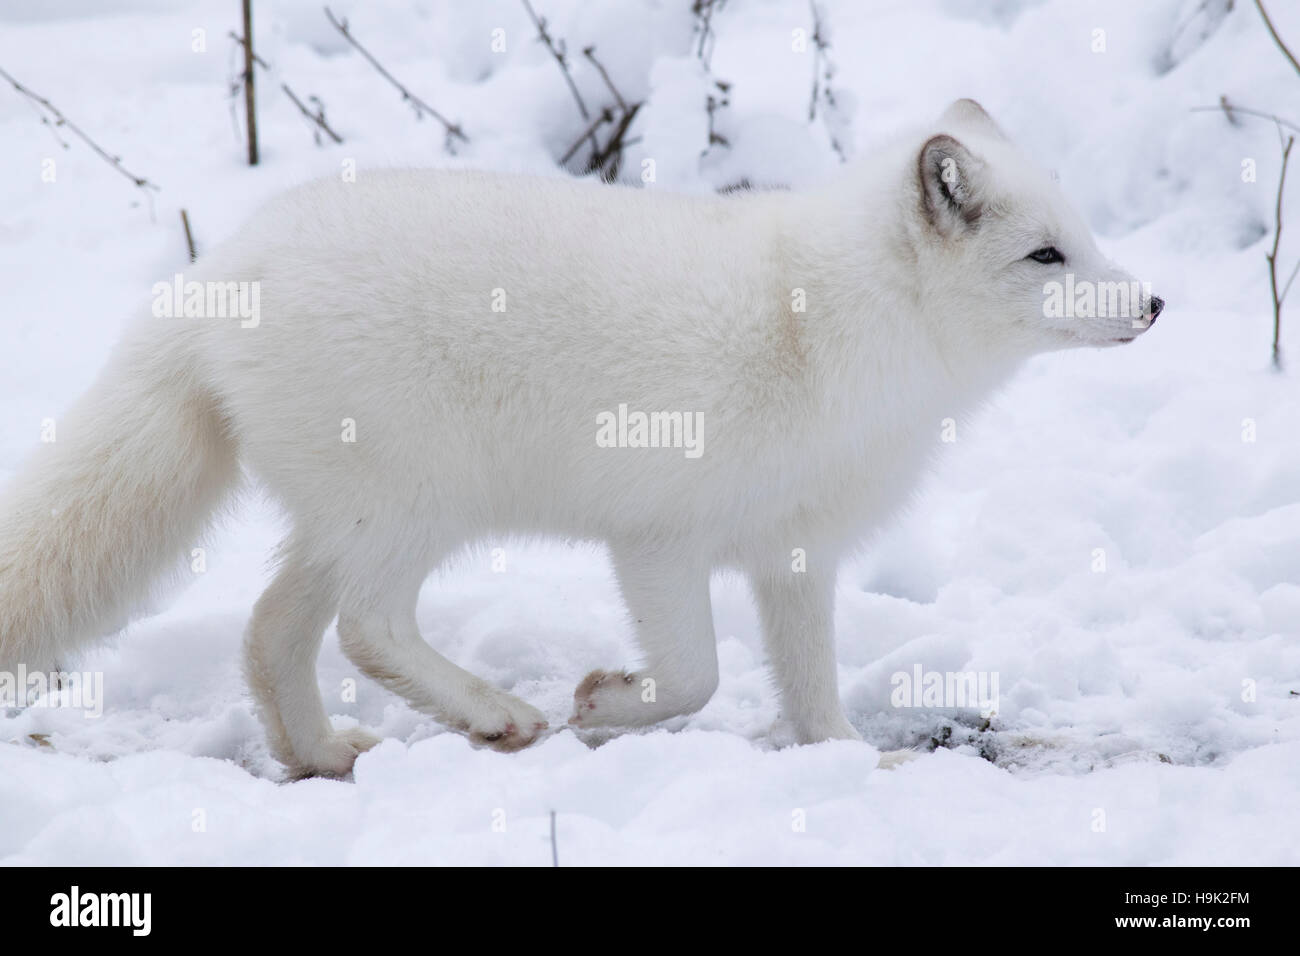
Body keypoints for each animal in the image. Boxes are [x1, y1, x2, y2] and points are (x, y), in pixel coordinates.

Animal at [0, 100, 1161, 777]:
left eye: (1085, 236)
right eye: (1045, 255)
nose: (1152, 303)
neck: (825, 323)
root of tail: (219, 269)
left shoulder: (795, 553)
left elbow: (811, 684)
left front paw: (842, 764)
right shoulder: (657, 539)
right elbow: (695, 676)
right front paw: (604, 706)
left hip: (343, 522)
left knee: (270, 629)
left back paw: (323, 753)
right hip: (415, 507)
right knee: (366, 629)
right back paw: (496, 718)